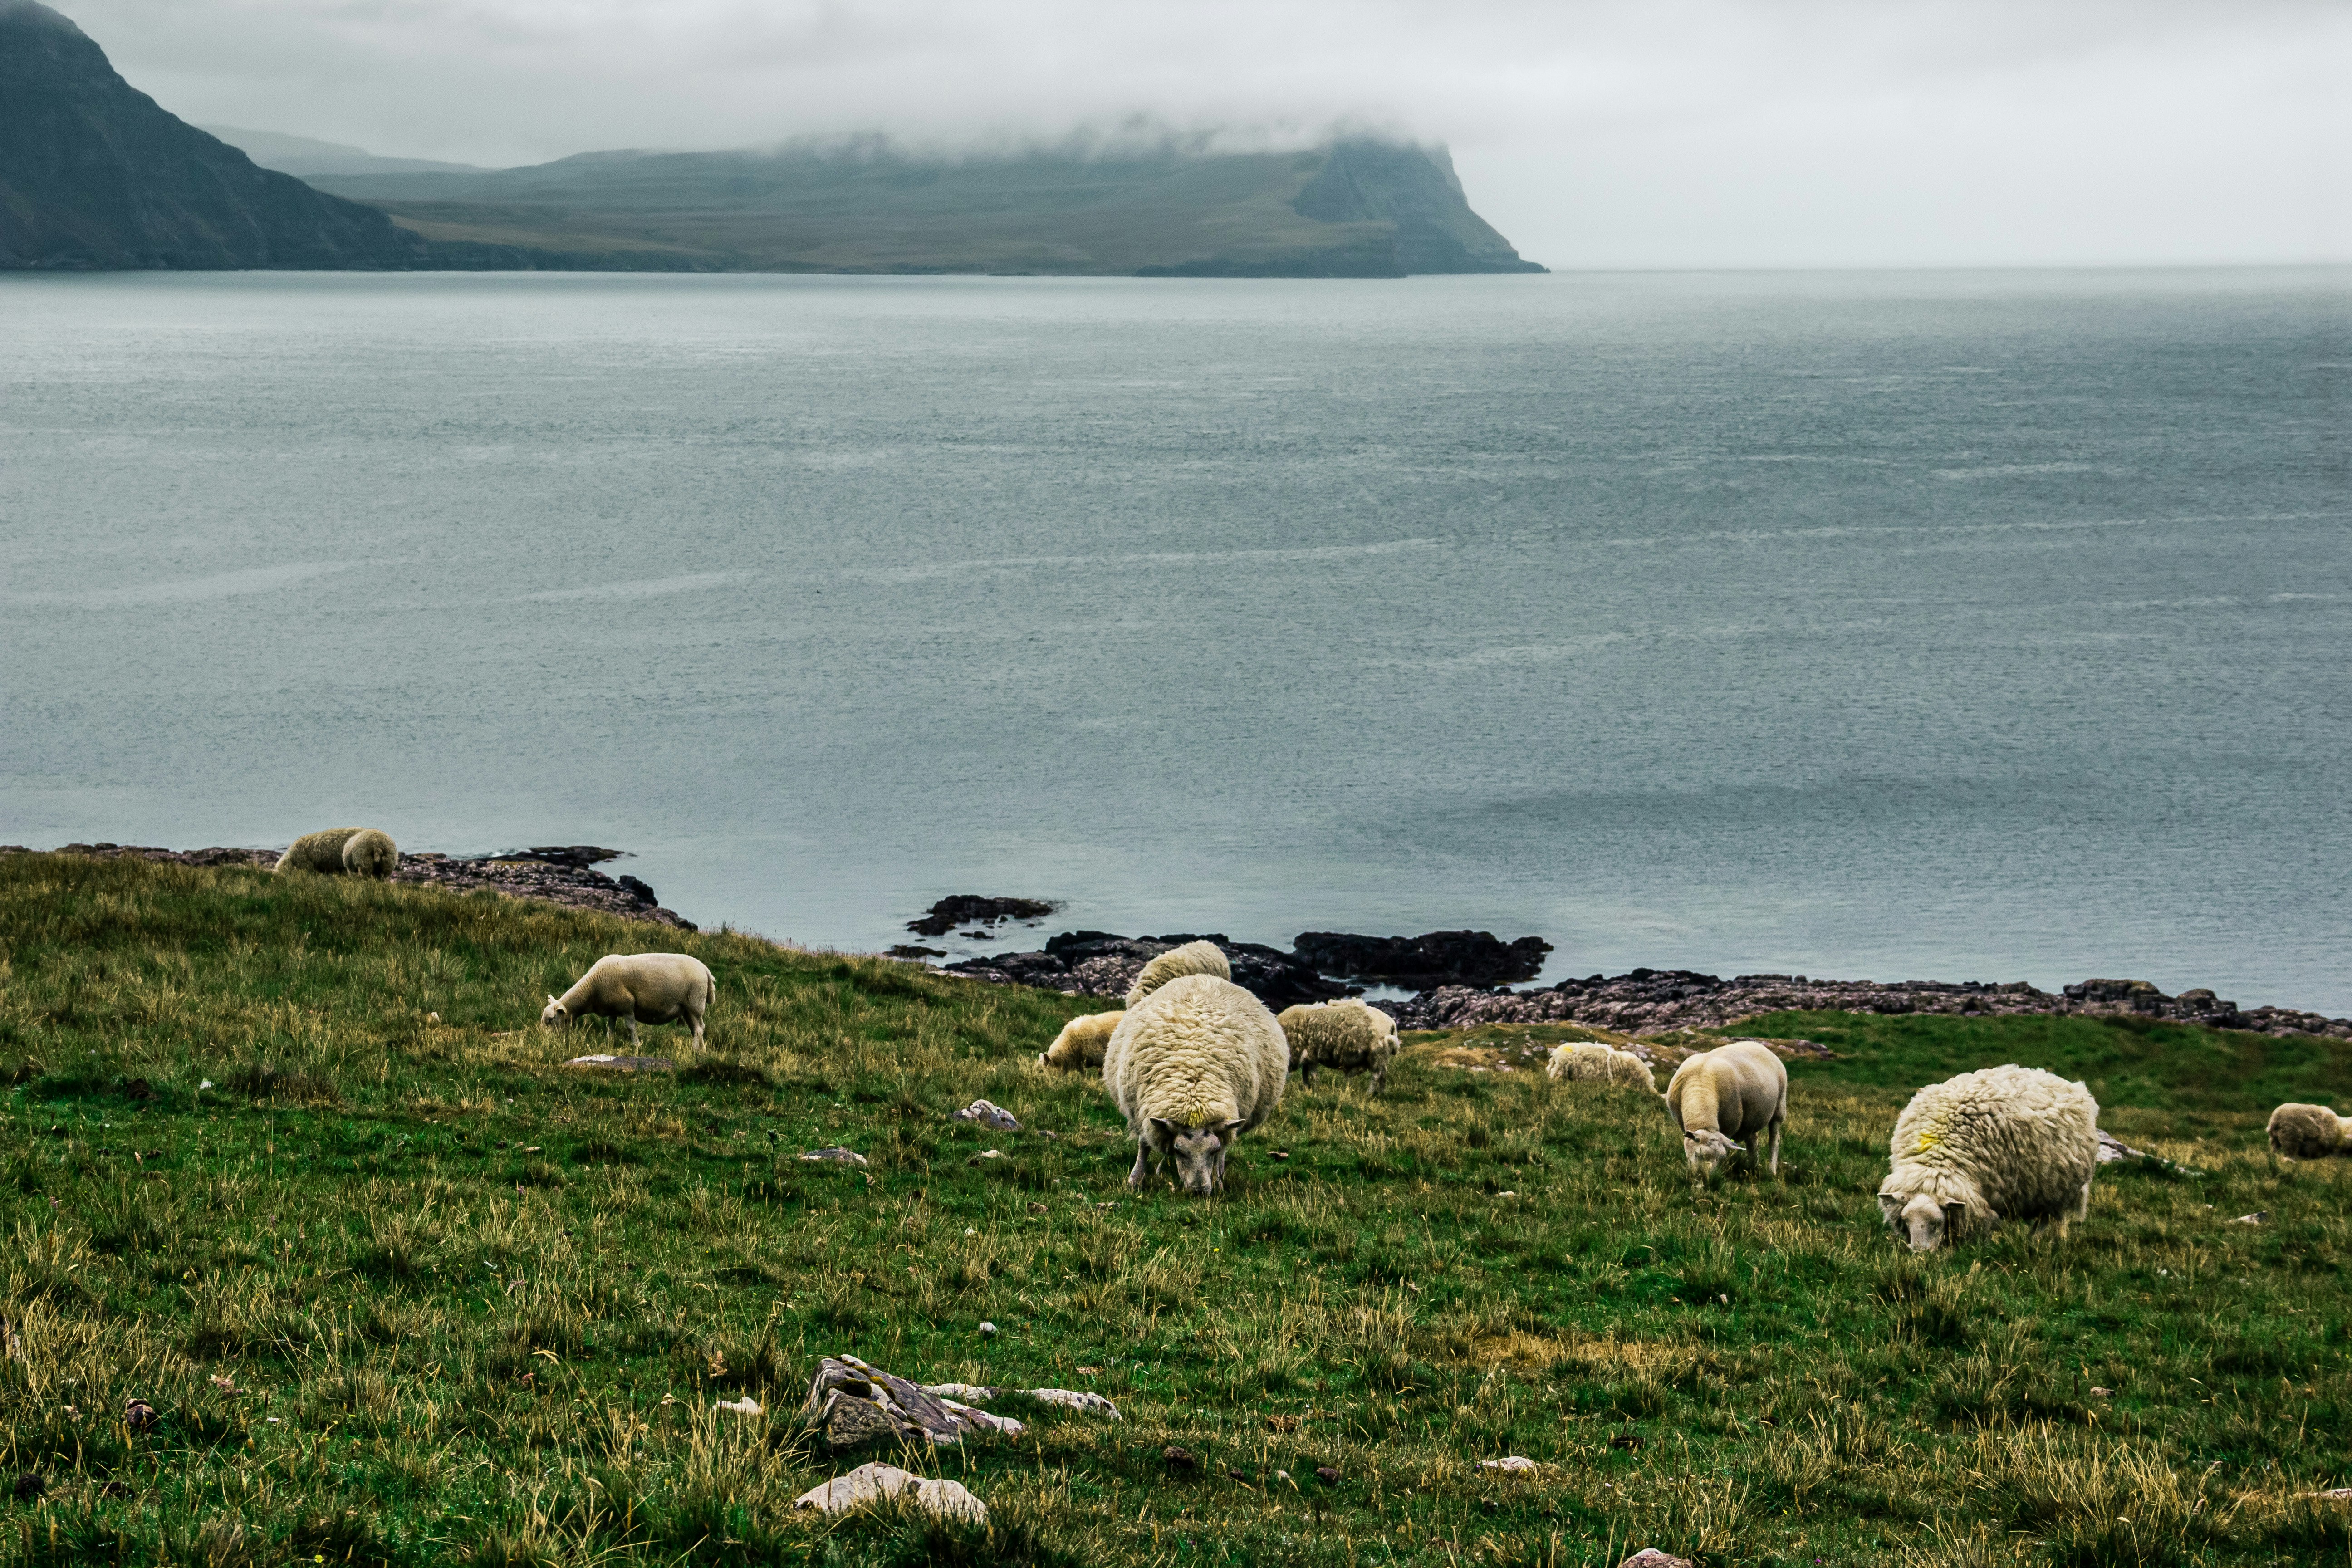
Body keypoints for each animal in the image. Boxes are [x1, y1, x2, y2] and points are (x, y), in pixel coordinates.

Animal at [541, 952, 715, 1051]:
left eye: (551, 1020)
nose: (547, 1042)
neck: (592, 989)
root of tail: (706, 970)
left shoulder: (627, 1005)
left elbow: (631, 1027)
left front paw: (636, 1045)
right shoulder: (613, 1007)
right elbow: (611, 1026)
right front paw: (609, 1042)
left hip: (694, 1004)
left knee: (699, 1028)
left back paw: (695, 1049)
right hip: (687, 1009)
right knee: (697, 1028)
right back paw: (702, 1050)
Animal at [1102, 970, 1287, 1196]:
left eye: (1212, 1151)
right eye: (1179, 1151)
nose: (1199, 1192)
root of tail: (1205, 976)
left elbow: (1222, 1151)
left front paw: (1218, 1181)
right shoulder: (1141, 1113)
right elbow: (1144, 1144)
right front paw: (1135, 1180)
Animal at [1277, 998, 1400, 1094]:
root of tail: (1391, 1022)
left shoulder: (1311, 1054)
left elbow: (1313, 1075)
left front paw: (1316, 1089)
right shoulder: (1308, 1057)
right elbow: (1305, 1075)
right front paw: (1307, 1090)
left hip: (1377, 1053)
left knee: (1376, 1076)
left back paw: (1369, 1094)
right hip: (1383, 1056)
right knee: (1383, 1075)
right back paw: (1382, 1094)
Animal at [1665, 1040, 1787, 1182]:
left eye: (1721, 1158)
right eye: (1698, 1154)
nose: (1706, 1180)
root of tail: (1757, 1044)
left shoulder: (1729, 1127)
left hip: (1779, 1108)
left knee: (1774, 1139)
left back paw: (1771, 1171)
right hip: (1752, 1117)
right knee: (1753, 1140)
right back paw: (1753, 1167)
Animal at [1877, 1064, 2099, 1253]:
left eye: (1937, 1223)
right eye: (1906, 1220)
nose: (1919, 1255)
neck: (1936, 1159)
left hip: (2060, 1189)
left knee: (2053, 1218)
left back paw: (2045, 1241)